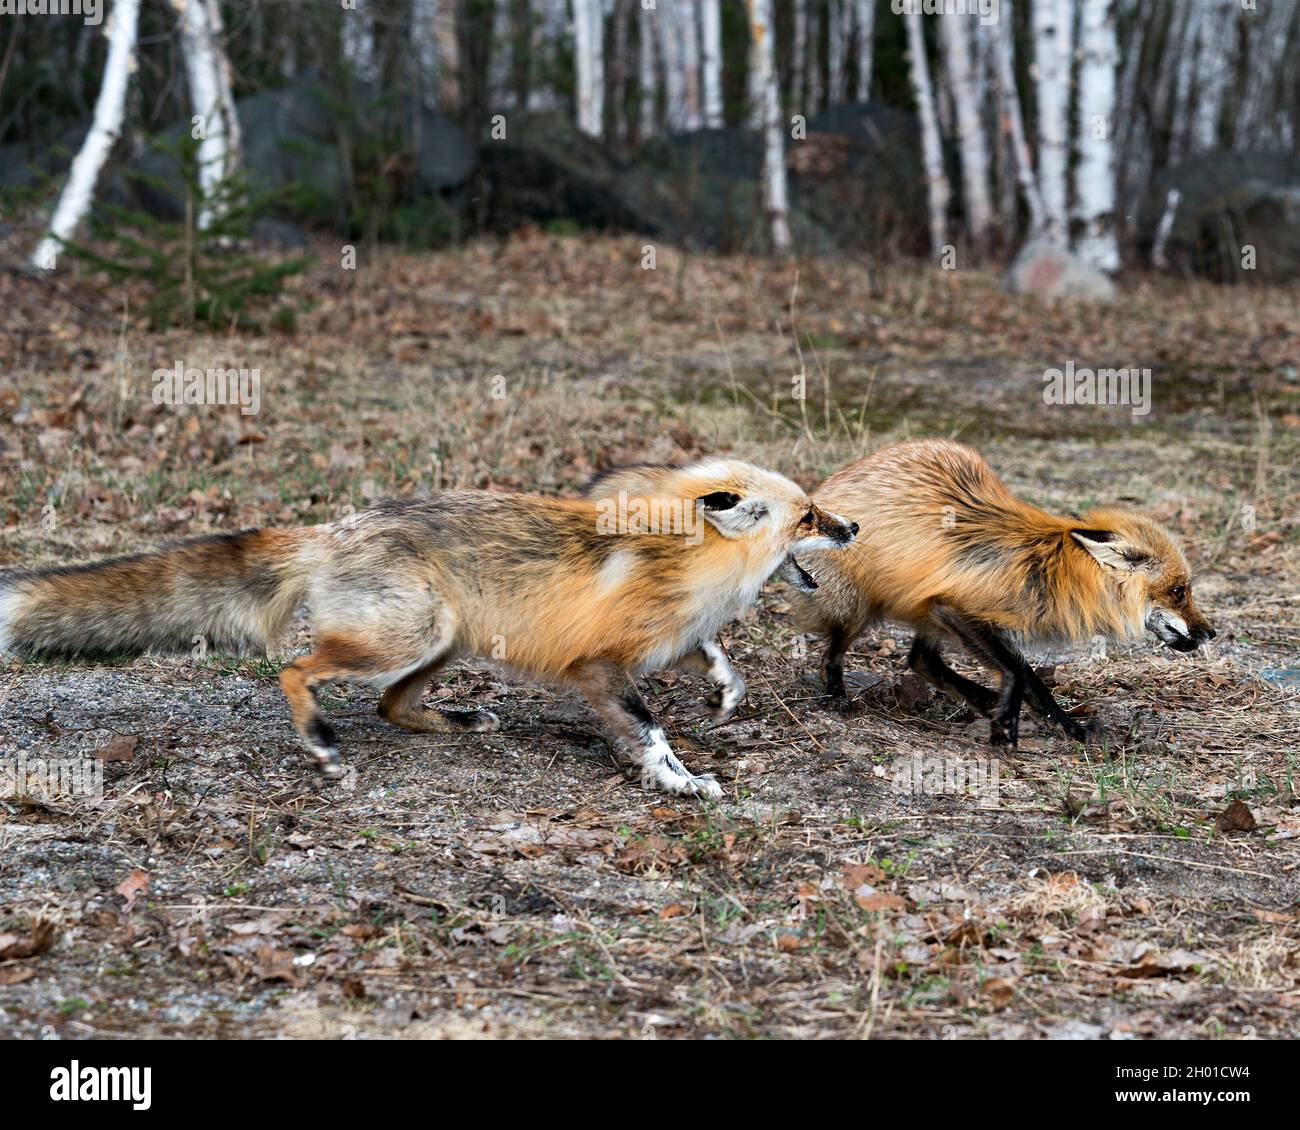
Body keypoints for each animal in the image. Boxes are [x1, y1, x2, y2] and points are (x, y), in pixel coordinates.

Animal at [0, 460, 856, 799]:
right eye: (809, 515)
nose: (851, 528)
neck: (683, 561)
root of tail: (335, 527)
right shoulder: (598, 667)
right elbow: (650, 734)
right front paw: (680, 782)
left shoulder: (663, 642)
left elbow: (714, 657)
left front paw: (725, 692)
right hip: (408, 637)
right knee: (296, 669)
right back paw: (321, 745)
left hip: (443, 645)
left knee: (391, 706)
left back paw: (461, 722)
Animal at [790, 439, 1216, 748]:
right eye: (1179, 591)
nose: (1212, 633)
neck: (1054, 569)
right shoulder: (951, 607)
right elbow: (1019, 671)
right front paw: (1008, 721)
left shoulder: (958, 616)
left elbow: (1032, 681)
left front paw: (1066, 727)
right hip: (856, 608)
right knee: (835, 654)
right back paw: (837, 696)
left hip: (920, 617)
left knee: (922, 661)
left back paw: (981, 699)